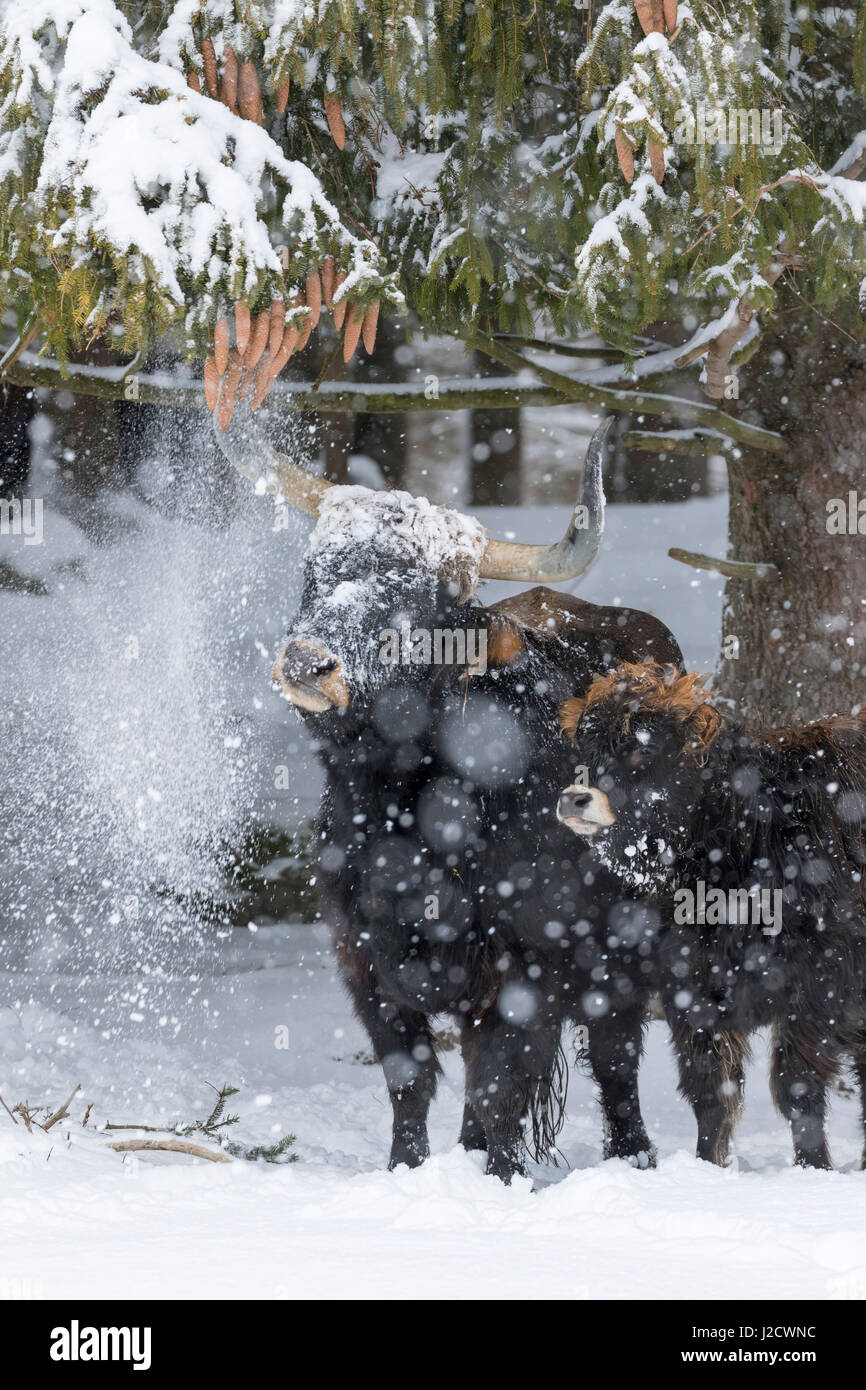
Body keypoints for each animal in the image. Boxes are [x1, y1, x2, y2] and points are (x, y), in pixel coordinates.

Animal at [213, 403, 682, 1181]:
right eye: (315, 570)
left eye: (417, 599)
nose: (308, 663)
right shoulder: (365, 965)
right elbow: (412, 1081)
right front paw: (409, 1170)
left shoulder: (526, 970)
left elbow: (499, 1084)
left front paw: (500, 1181)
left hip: (621, 956)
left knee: (616, 1059)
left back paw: (635, 1155)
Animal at [557, 660, 866, 1170]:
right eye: (585, 748)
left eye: (643, 749)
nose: (574, 798)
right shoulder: (691, 986)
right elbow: (711, 1091)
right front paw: (705, 1168)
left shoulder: (820, 984)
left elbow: (798, 1087)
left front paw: (815, 1168)